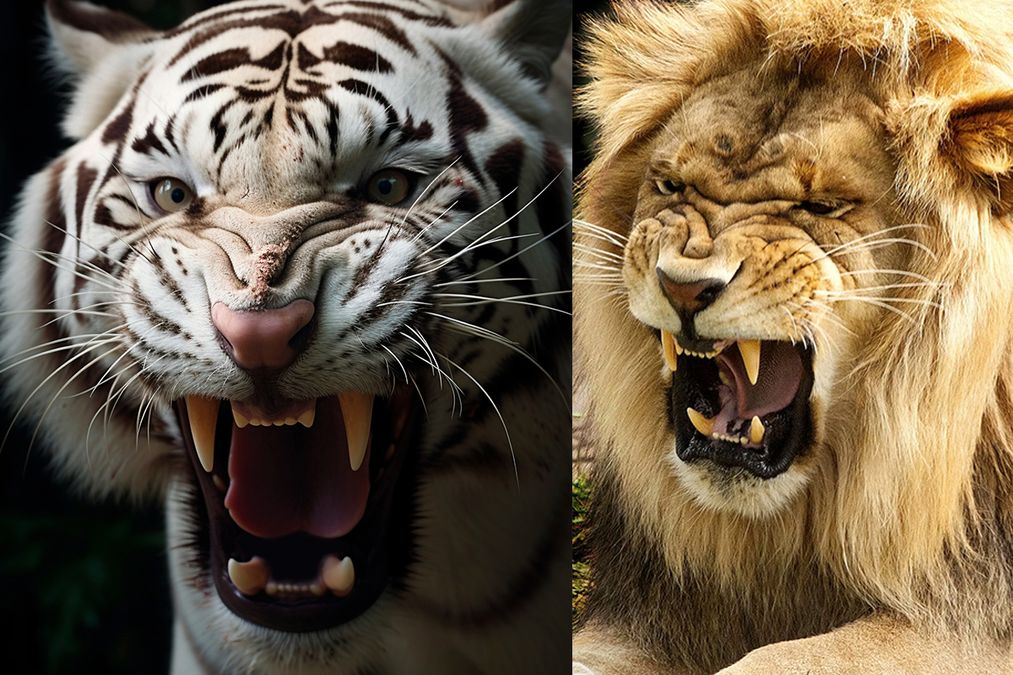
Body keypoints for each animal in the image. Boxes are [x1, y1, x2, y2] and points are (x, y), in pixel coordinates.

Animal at [572, 0, 1013, 672]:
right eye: (671, 185)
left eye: (824, 206)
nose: (683, 287)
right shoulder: (642, 618)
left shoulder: (973, 618)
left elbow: (785, 658)